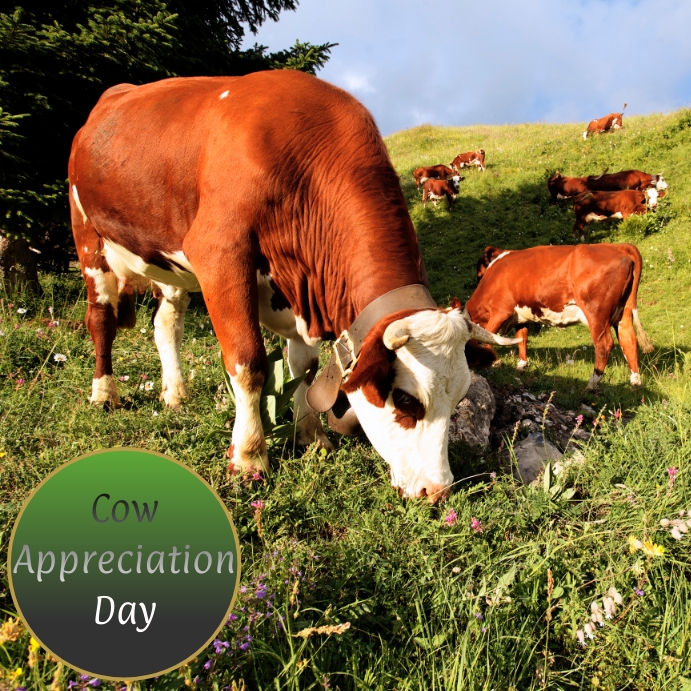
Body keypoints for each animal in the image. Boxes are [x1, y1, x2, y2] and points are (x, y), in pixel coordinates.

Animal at [68, 71, 519, 502]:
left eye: (459, 398)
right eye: (407, 399)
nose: (437, 491)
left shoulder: (298, 290)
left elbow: (304, 367)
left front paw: (312, 437)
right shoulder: (219, 254)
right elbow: (248, 363)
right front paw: (249, 459)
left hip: (166, 261)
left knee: (166, 325)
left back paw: (175, 393)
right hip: (88, 236)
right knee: (100, 320)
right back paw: (104, 393)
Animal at [467, 244, 654, 390]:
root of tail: (617, 246)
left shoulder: (500, 311)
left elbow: (489, 336)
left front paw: (493, 363)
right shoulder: (521, 316)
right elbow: (522, 338)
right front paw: (521, 366)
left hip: (596, 313)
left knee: (604, 344)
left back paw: (591, 385)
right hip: (624, 313)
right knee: (629, 341)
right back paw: (635, 384)